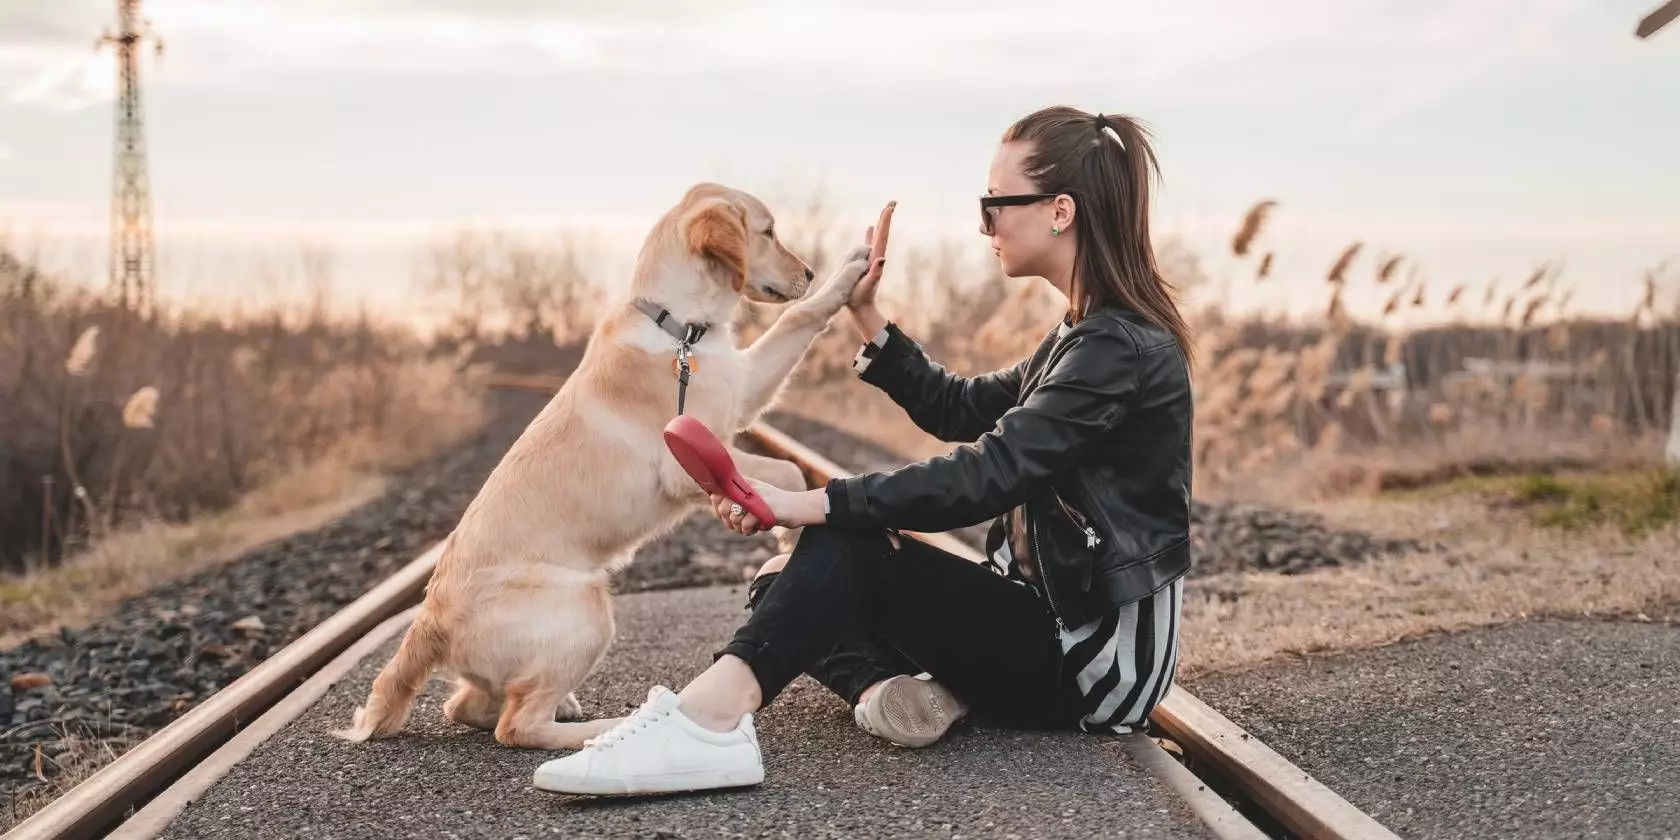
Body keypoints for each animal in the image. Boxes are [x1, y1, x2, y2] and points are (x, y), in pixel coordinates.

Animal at [334, 182, 873, 749]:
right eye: (768, 232)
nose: (809, 272)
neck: (680, 330)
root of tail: (428, 621)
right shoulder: (687, 459)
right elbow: (787, 472)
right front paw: (789, 538)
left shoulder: (742, 389)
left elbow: (799, 319)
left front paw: (848, 272)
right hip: (587, 605)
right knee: (516, 725)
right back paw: (609, 727)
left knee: (465, 706)